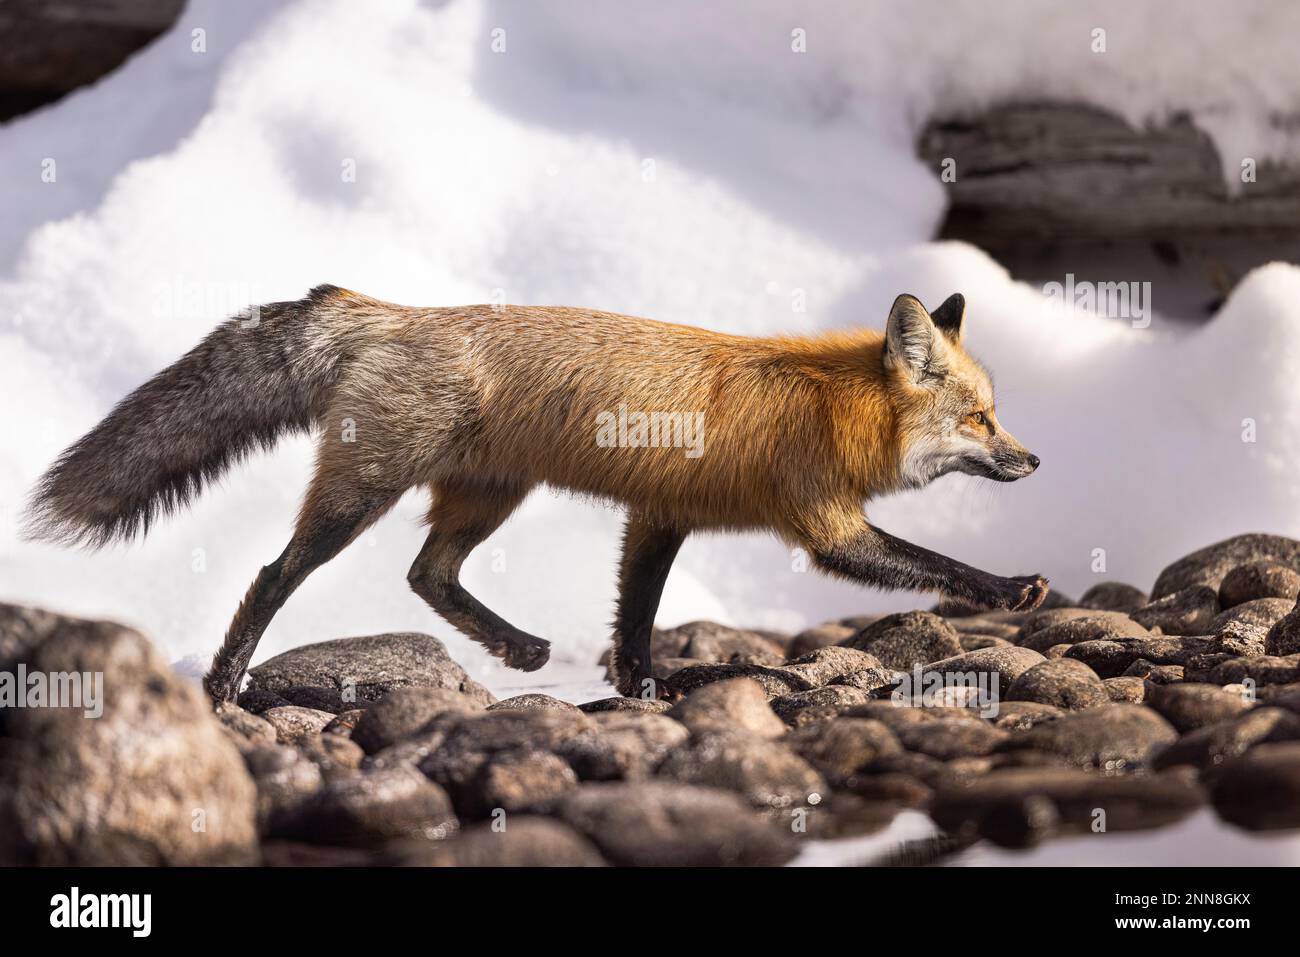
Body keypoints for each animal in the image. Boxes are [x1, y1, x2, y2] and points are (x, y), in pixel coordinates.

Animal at [24, 286, 1047, 703]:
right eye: (982, 419)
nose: (1034, 461)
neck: (833, 407)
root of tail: (383, 310)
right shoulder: (824, 527)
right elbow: (936, 561)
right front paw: (1009, 587)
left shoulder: (661, 515)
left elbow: (634, 624)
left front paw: (647, 690)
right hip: (363, 496)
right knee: (277, 575)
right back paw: (223, 683)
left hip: (487, 496)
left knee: (428, 574)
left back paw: (517, 648)